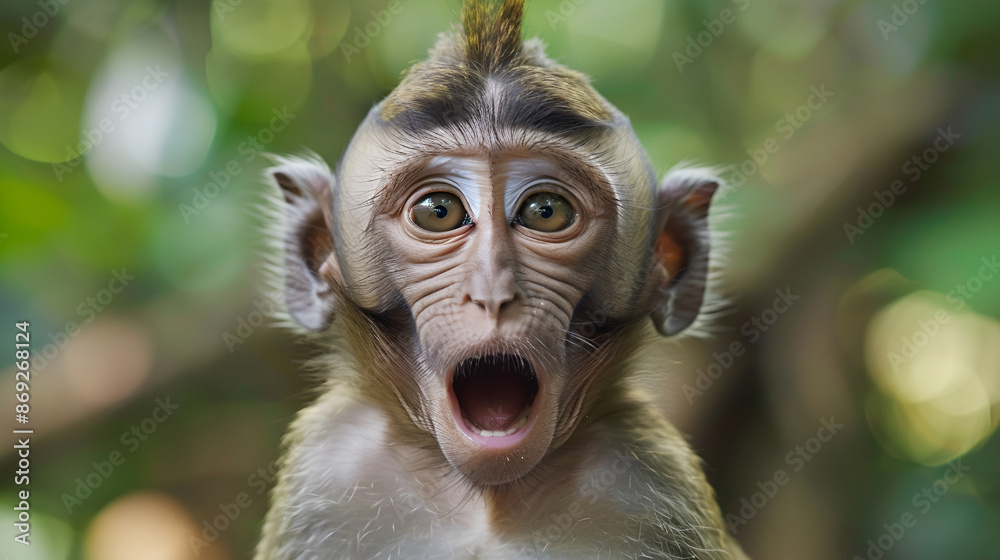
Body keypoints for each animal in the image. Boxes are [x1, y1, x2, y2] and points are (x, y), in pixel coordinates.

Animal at [255, 1, 748, 558]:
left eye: (546, 211)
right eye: (439, 211)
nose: (492, 294)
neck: (485, 501)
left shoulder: (653, 481)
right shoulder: (325, 473)